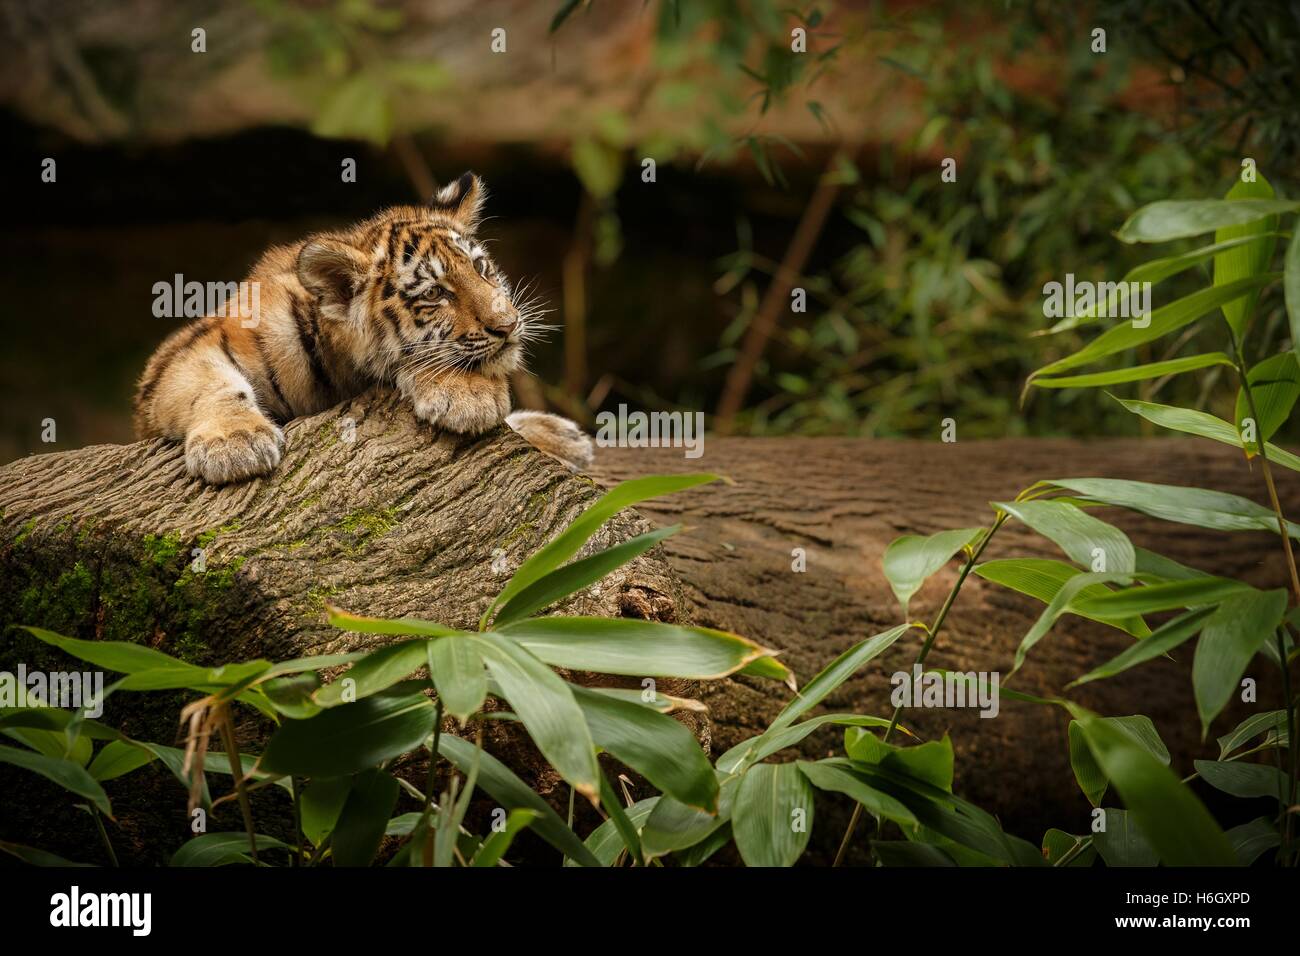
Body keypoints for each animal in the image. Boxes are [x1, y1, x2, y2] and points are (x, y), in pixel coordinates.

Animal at [133, 172, 592, 484]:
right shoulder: (184, 352)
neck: (342, 370)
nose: (508, 324)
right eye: (434, 293)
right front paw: (234, 443)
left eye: (480, 268)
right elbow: (213, 384)